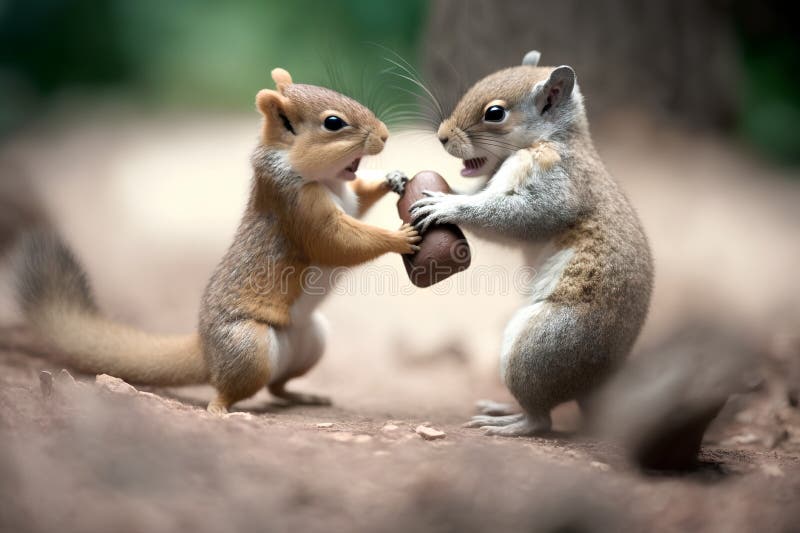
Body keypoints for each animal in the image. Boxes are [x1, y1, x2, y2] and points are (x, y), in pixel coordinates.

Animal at [14, 68, 419, 414]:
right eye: (333, 123)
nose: (385, 135)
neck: (326, 181)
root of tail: (206, 352)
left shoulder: (348, 197)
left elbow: (361, 200)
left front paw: (393, 179)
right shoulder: (297, 210)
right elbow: (337, 242)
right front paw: (399, 236)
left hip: (312, 342)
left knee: (277, 387)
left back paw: (303, 395)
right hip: (248, 345)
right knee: (231, 387)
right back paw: (221, 408)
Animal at [409, 50, 654, 436]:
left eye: (495, 113)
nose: (442, 137)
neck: (553, 139)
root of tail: (593, 387)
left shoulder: (556, 184)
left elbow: (518, 218)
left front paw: (447, 205)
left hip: (542, 346)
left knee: (542, 418)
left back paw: (510, 423)